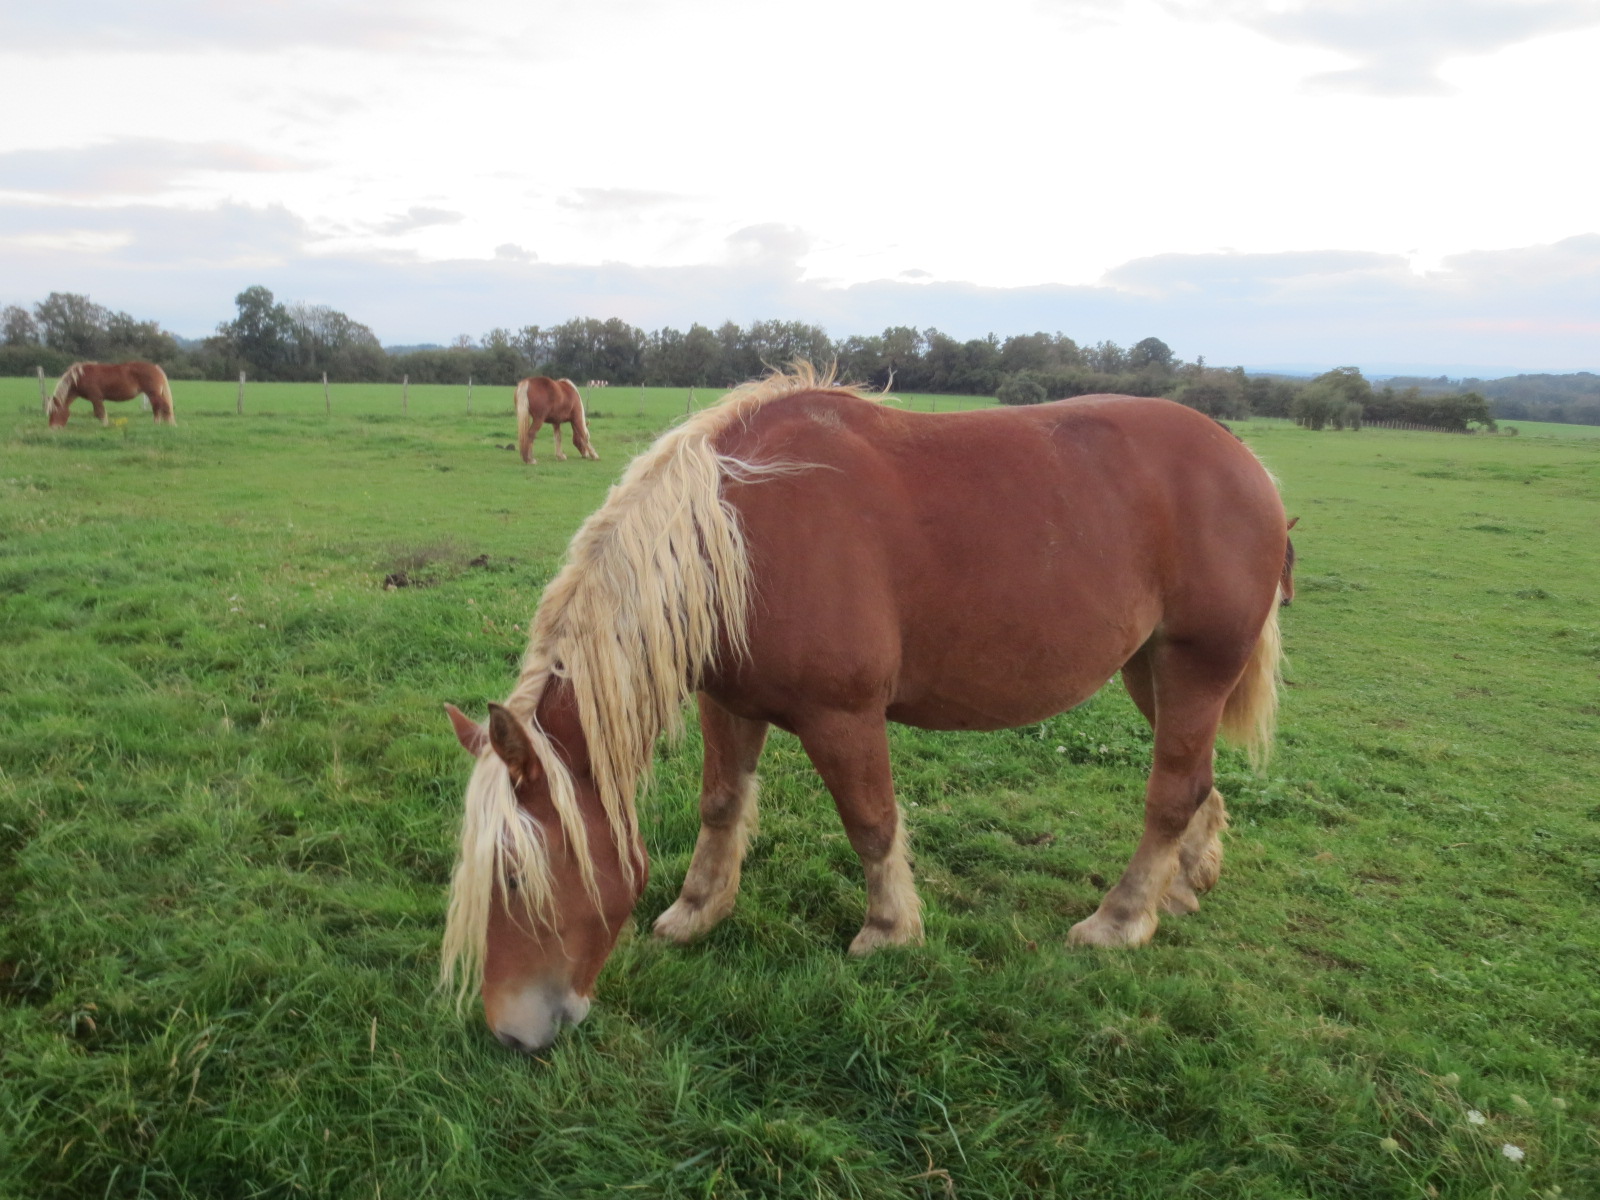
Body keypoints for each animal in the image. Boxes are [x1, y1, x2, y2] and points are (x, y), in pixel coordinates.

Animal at [47, 361, 176, 427]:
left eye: (54, 411)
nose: (53, 428)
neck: (79, 377)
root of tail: (156, 368)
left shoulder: (96, 398)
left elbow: (100, 413)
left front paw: (105, 425)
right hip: (152, 395)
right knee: (157, 408)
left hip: (154, 394)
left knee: (164, 407)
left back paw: (169, 424)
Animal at [442, 365, 1289, 1053]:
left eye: (513, 877)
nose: (513, 1032)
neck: (740, 536)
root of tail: (1246, 462)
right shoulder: (729, 702)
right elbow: (722, 805)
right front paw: (697, 911)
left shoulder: (842, 717)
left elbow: (872, 820)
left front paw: (889, 931)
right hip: (1152, 672)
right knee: (1197, 783)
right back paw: (1183, 884)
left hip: (1194, 667)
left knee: (1170, 792)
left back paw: (1121, 920)